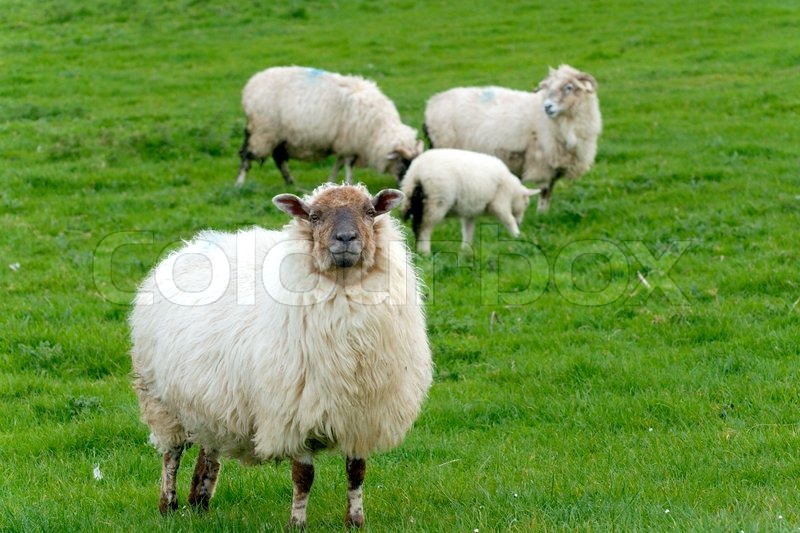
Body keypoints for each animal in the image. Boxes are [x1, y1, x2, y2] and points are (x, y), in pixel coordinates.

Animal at [129, 183, 432, 529]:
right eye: (314, 216)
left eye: (370, 212)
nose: (345, 239)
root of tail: (188, 247)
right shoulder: (295, 414)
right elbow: (304, 476)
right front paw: (297, 523)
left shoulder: (362, 417)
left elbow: (357, 472)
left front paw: (355, 521)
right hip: (160, 401)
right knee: (172, 454)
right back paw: (168, 505)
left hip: (210, 401)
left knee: (209, 448)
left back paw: (200, 502)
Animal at [236, 66, 423, 186]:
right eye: (404, 162)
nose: (404, 187)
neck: (379, 128)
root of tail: (249, 87)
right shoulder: (349, 143)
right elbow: (347, 165)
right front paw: (349, 182)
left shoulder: (343, 143)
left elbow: (338, 164)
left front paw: (331, 181)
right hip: (263, 131)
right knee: (247, 155)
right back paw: (240, 183)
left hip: (278, 136)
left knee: (278, 158)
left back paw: (290, 182)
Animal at [400, 148, 540, 255]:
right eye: (526, 204)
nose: (520, 222)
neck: (513, 191)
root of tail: (416, 172)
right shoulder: (500, 202)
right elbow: (509, 219)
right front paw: (518, 236)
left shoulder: (469, 212)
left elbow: (468, 229)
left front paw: (466, 249)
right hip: (435, 201)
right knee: (424, 228)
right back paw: (425, 252)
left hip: (415, 201)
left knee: (417, 225)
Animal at [423, 64, 601, 212]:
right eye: (547, 88)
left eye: (569, 87)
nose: (548, 107)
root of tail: (431, 104)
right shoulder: (542, 162)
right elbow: (544, 192)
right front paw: (541, 214)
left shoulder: (555, 164)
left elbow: (549, 191)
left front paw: (544, 214)